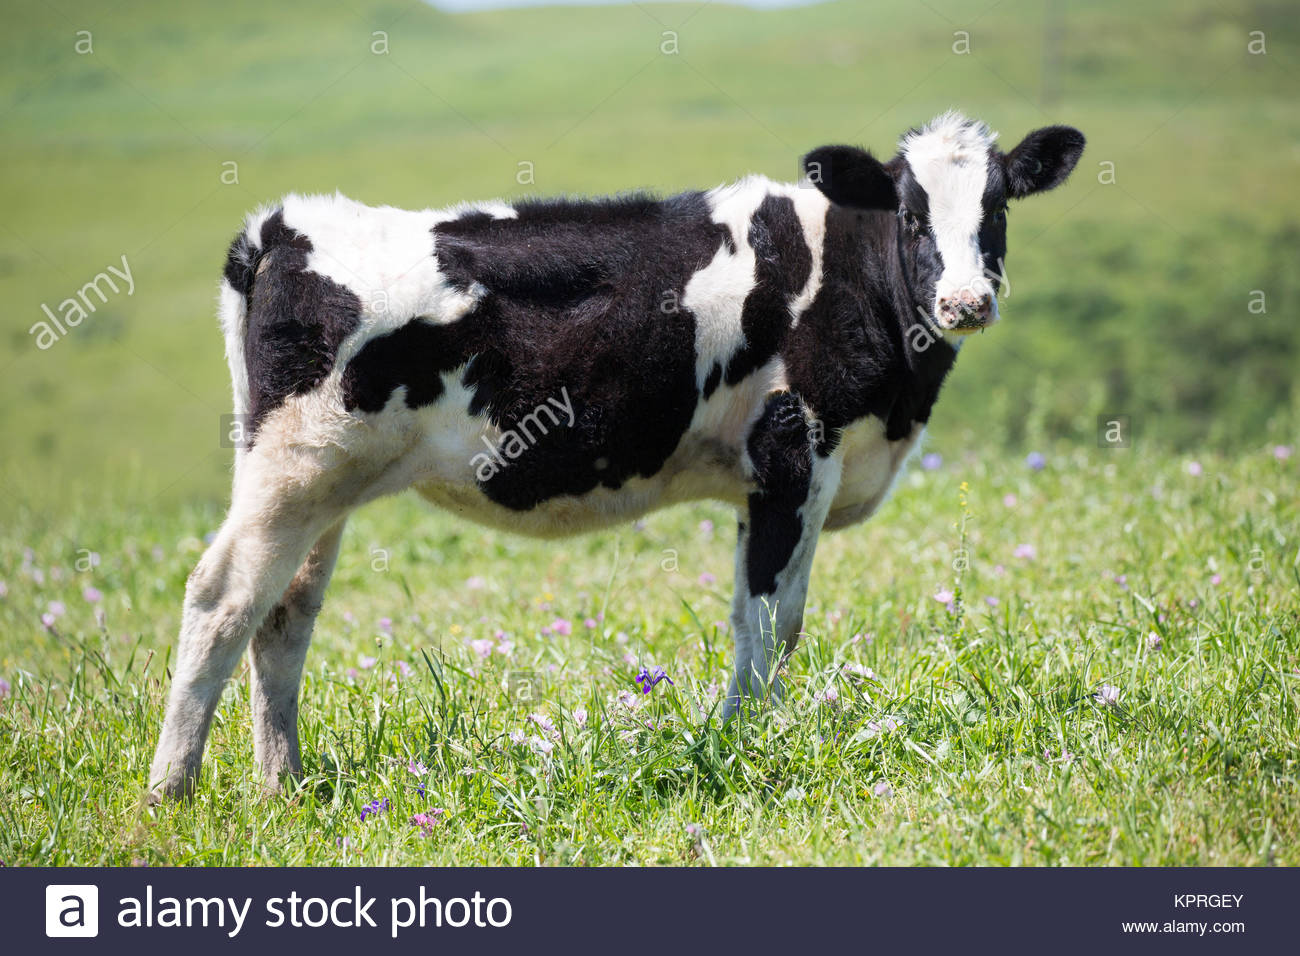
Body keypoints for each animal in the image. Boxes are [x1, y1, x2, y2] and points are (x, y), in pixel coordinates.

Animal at [149, 112, 1084, 799]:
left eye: (997, 211)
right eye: (913, 215)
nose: (966, 302)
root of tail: (283, 226)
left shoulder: (763, 481)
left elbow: (752, 618)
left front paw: (734, 737)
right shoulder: (795, 450)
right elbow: (773, 620)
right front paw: (752, 742)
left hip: (324, 484)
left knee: (285, 613)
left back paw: (284, 785)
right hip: (295, 468)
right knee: (223, 597)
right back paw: (172, 790)